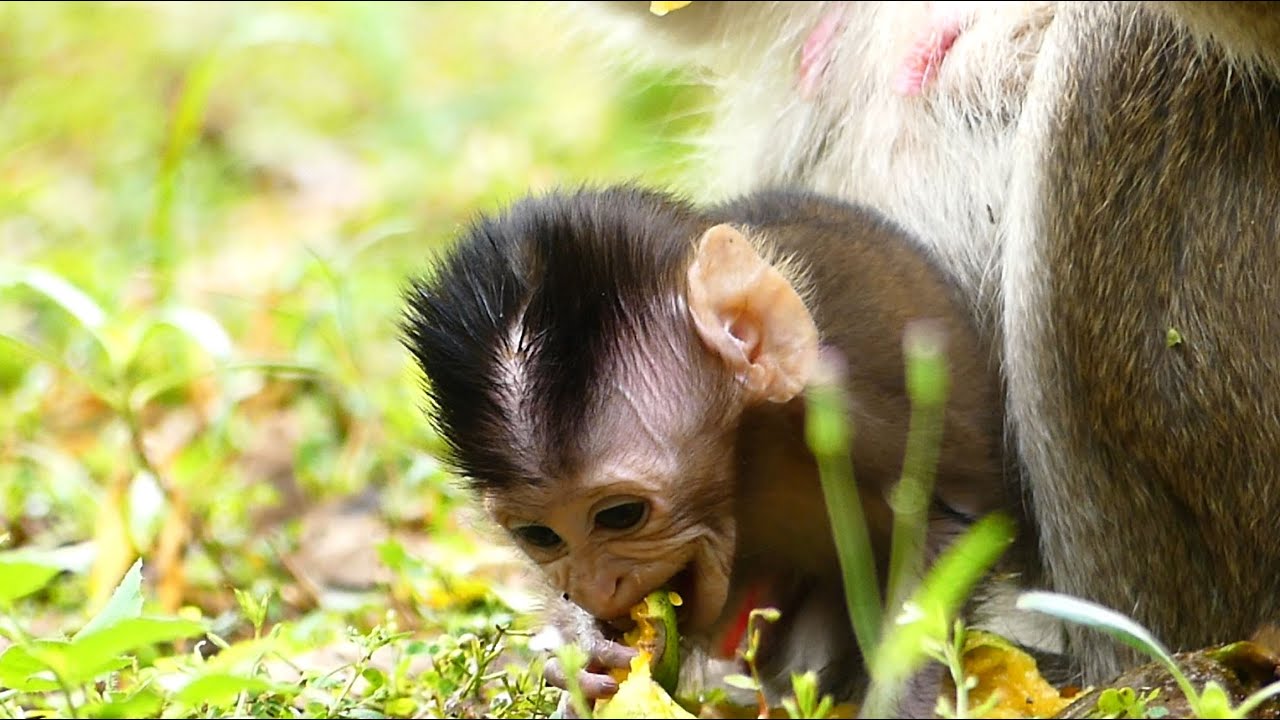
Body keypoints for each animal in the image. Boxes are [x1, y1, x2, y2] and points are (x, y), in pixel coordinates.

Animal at [400, 185, 1023, 709]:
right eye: (540, 536)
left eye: (620, 515)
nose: (596, 589)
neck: (747, 456)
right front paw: (582, 653)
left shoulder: (842, 408)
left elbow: (947, 527)